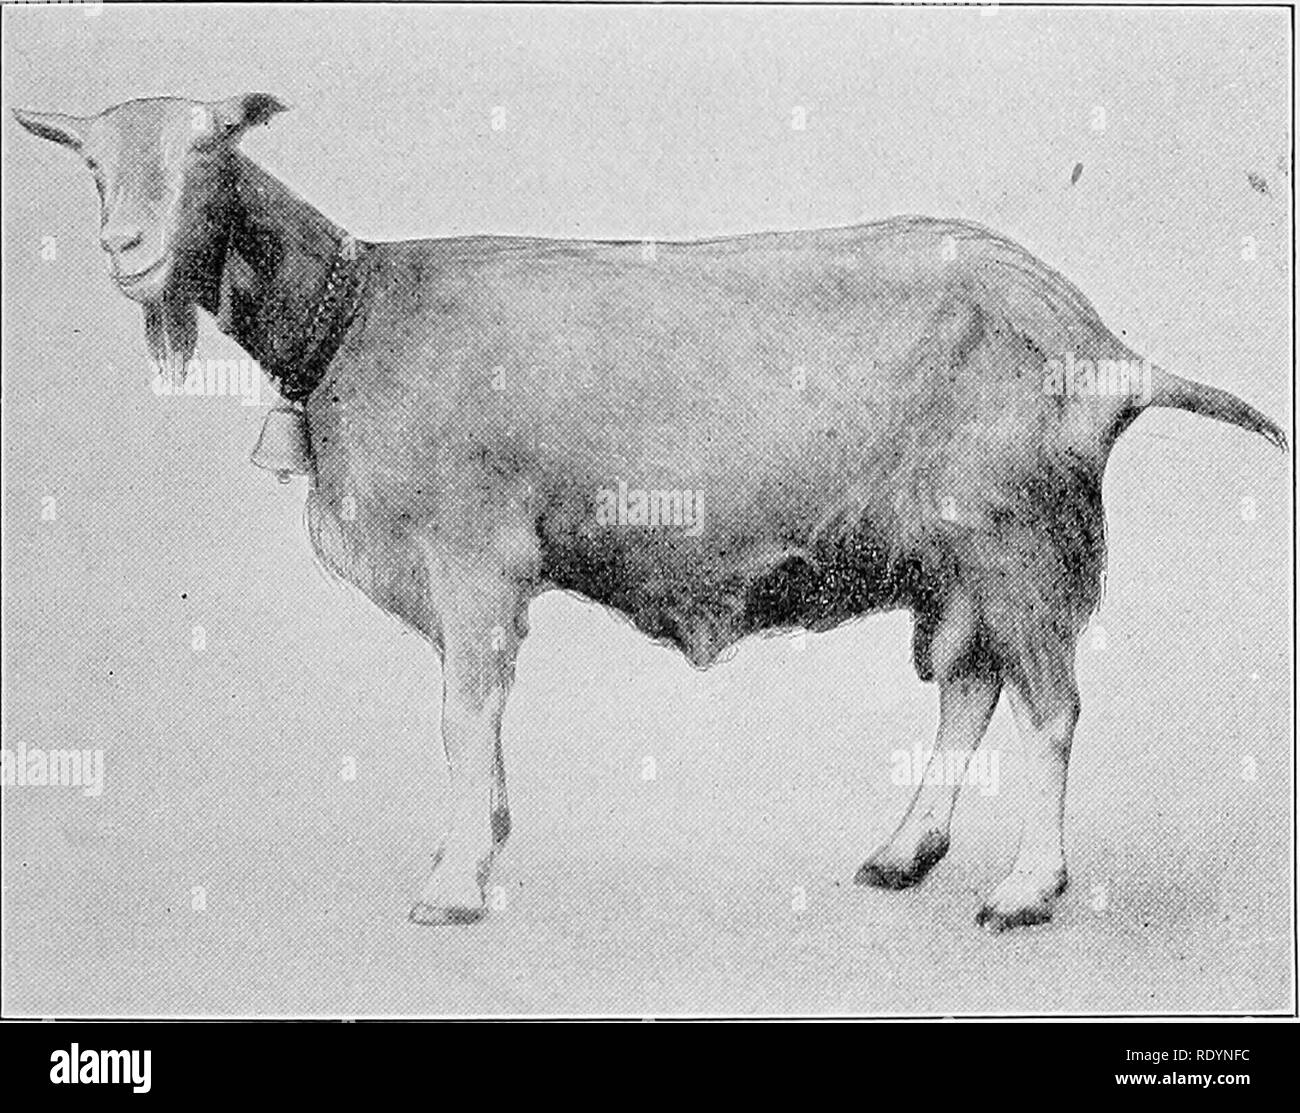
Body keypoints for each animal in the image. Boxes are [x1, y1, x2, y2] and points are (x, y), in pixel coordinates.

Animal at [14, 93, 1287, 931]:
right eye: (90, 163)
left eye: (210, 147)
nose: (125, 248)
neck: (359, 309)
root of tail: (1099, 341)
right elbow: (471, 717)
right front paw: (473, 847)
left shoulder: (476, 554)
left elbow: (463, 713)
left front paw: (451, 884)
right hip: (955, 552)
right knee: (971, 687)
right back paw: (902, 854)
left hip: (1017, 532)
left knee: (1050, 704)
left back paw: (1025, 890)